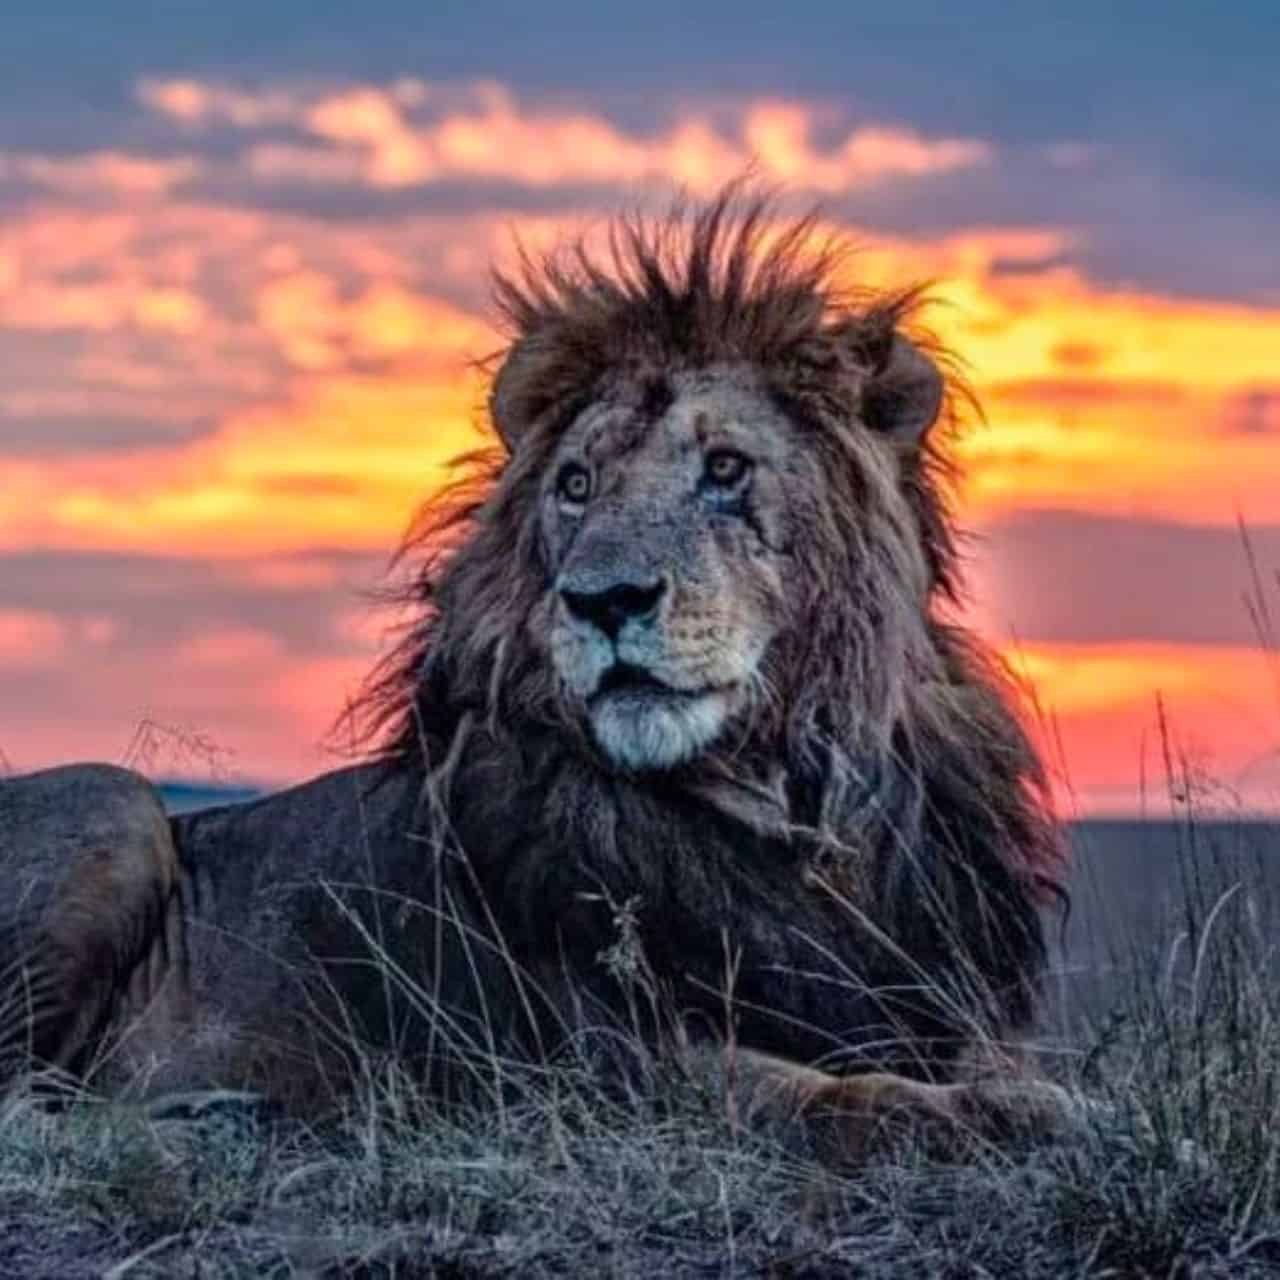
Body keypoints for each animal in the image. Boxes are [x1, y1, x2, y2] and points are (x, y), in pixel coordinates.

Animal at [0, 186, 1068, 1149]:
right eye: (577, 485)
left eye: (725, 468)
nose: (604, 600)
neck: (788, 811)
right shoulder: (604, 1071)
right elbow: (841, 1098)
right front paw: (1017, 1113)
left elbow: (974, 1062)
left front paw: (1020, 1094)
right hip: (116, 802)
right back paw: (199, 1121)